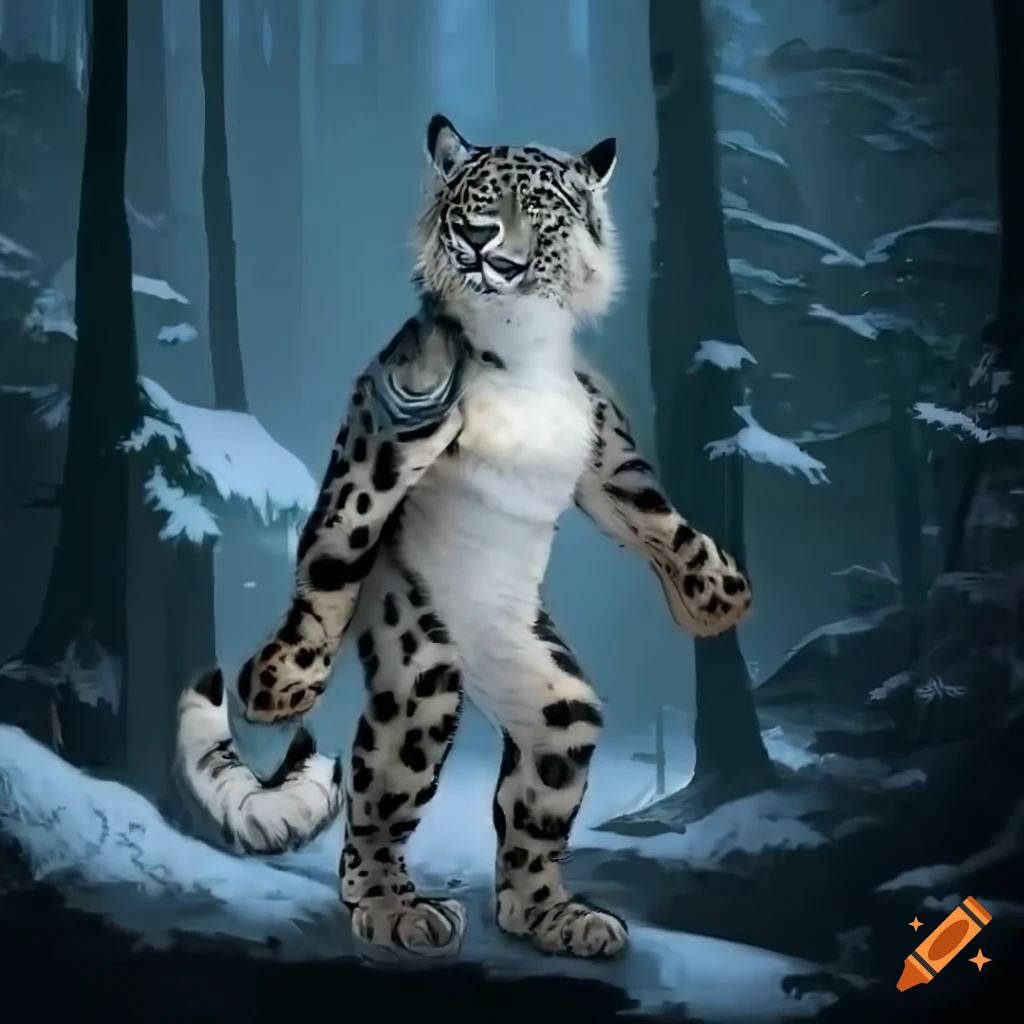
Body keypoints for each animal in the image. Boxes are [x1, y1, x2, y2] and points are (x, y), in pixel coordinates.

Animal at [175, 114, 753, 960]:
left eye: (537, 201)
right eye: (468, 199)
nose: (481, 238)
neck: (524, 351)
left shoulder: (605, 447)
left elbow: (650, 509)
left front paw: (717, 596)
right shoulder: (380, 441)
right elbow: (340, 533)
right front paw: (283, 679)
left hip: (552, 695)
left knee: (533, 806)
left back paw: (552, 915)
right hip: (417, 656)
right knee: (379, 802)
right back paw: (395, 908)